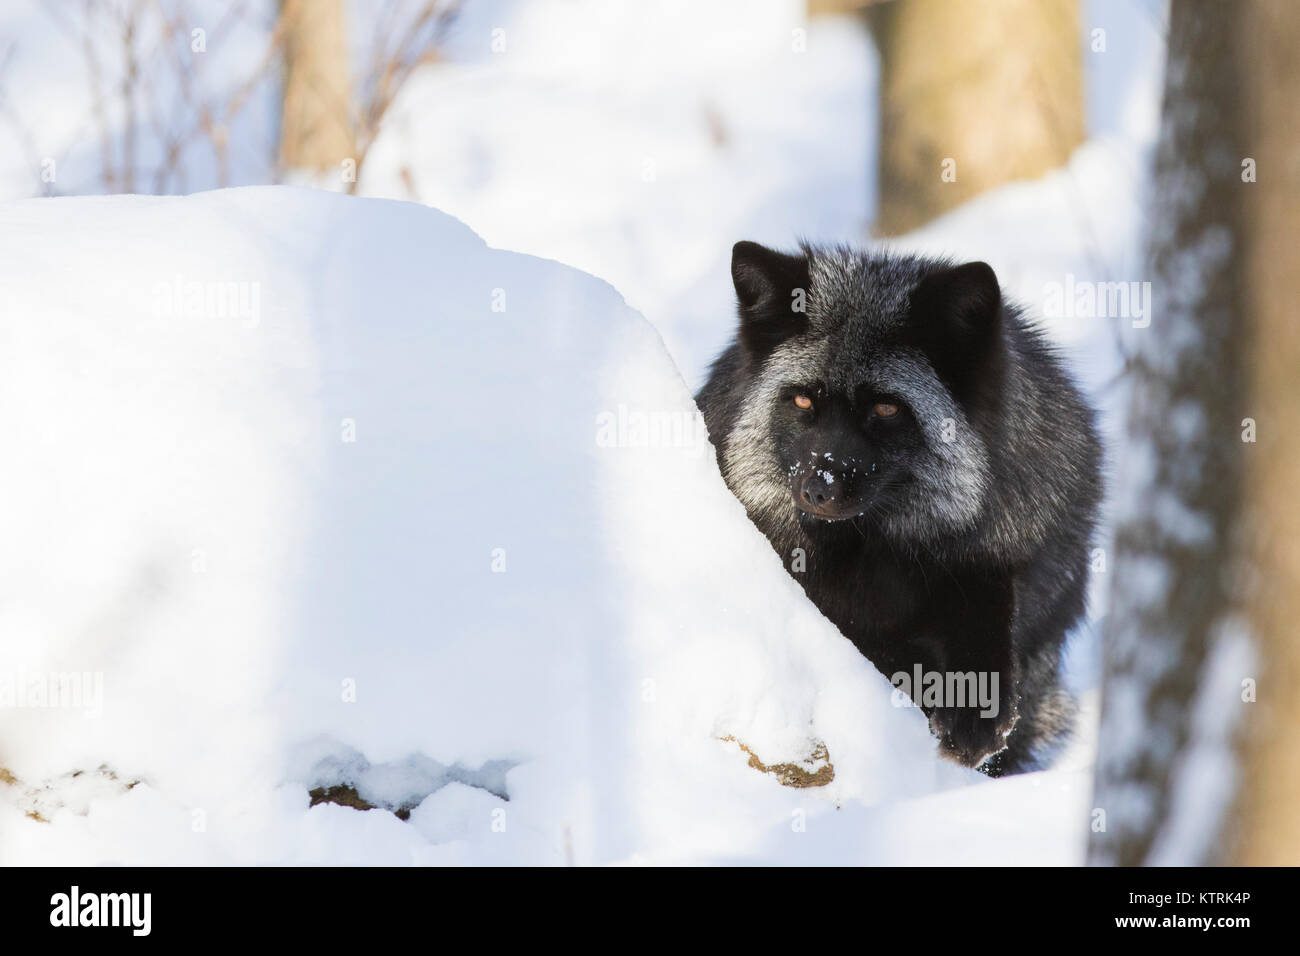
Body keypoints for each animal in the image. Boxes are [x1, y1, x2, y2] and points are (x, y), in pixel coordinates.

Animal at [696, 241, 1102, 774]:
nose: (818, 489)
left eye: (886, 409)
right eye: (803, 401)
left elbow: (990, 597)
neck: (871, 556)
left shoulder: (1005, 550)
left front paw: (976, 709)